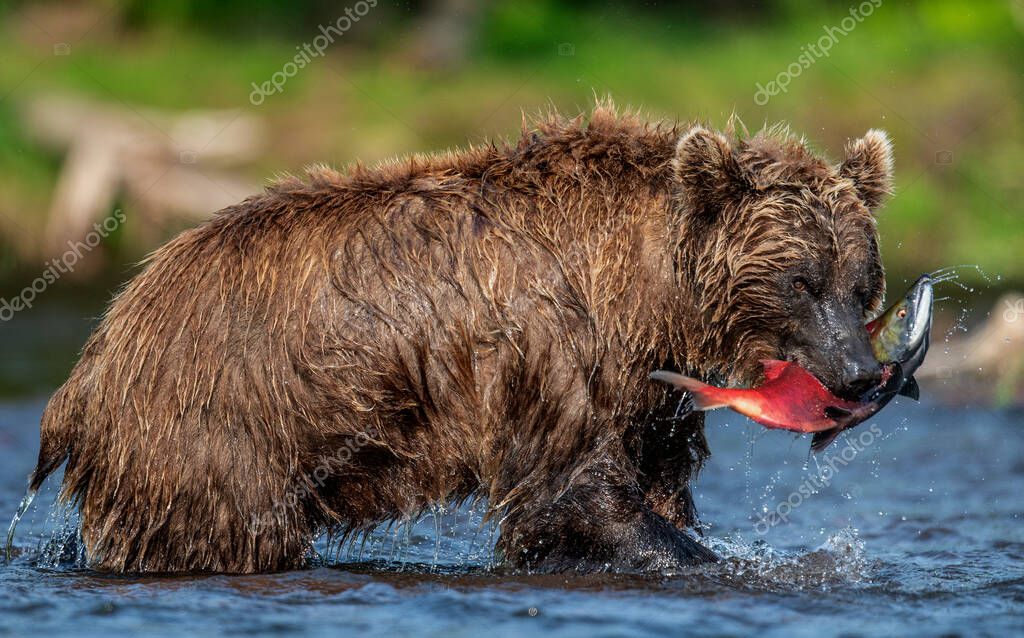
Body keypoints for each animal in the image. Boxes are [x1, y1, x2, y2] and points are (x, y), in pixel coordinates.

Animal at [29, 103, 893, 574]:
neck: (644, 295)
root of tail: (95, 356)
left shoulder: (646, 392)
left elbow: (651, 488)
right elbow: (574, 498)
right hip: (217, 430)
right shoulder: (548, 354)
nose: (859, 373)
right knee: (230, 533)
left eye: (860, 281)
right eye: (799, 281)